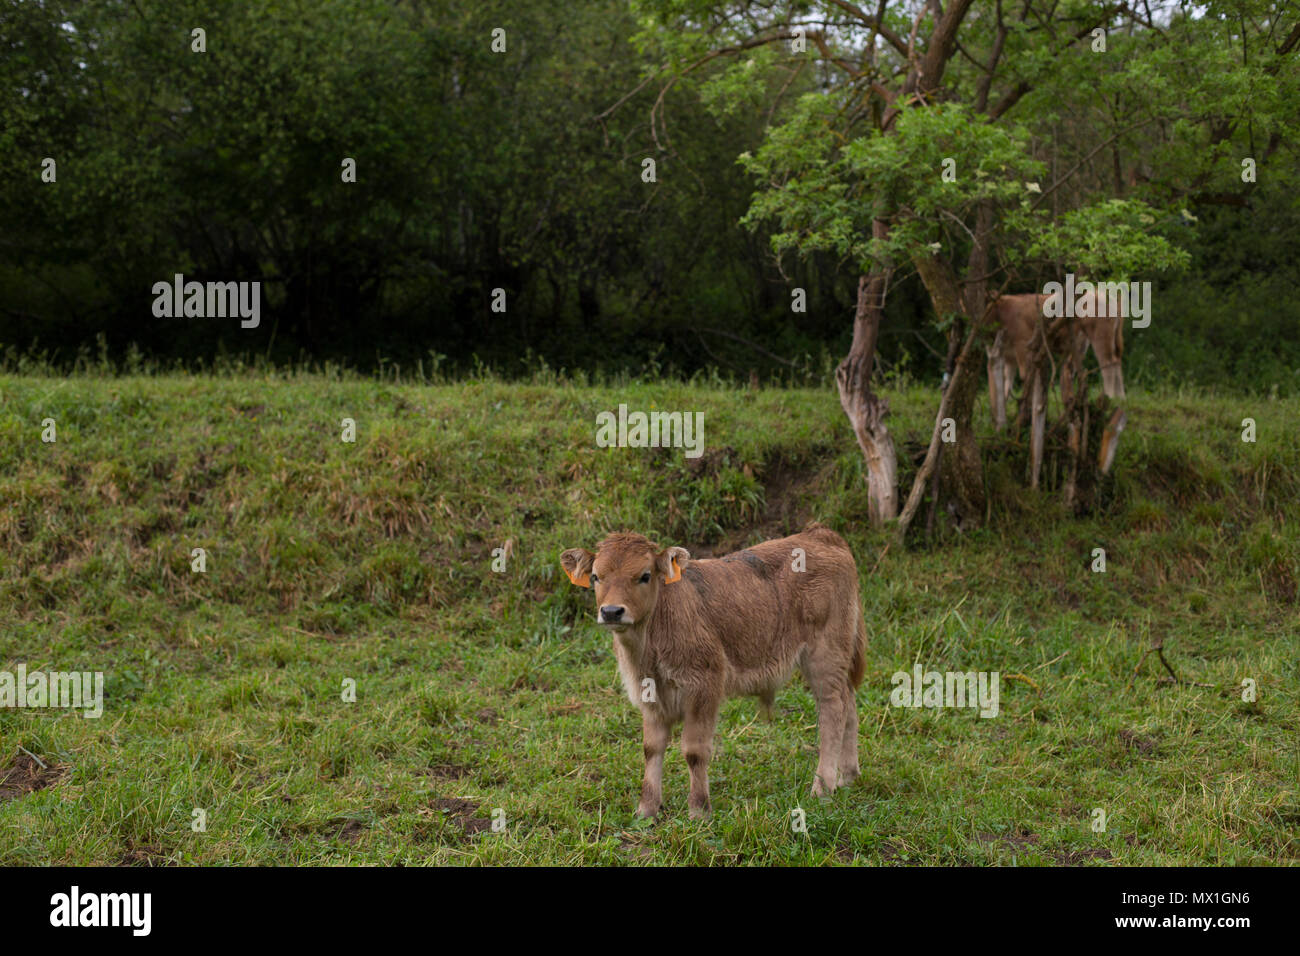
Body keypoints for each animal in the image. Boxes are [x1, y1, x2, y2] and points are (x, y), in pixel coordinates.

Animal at [560, 525, 866, 819]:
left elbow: (694, 750)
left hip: (825, 653)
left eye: (645, 576)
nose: (612, 611)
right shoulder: (649, 692)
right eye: (596, 577)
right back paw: (848, 776)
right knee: (848, 702)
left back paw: (822, 787)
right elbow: (651, 748)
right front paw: (647, 809)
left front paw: (698, 809)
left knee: (833, 710)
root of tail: (820, 533)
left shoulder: (703, 685)